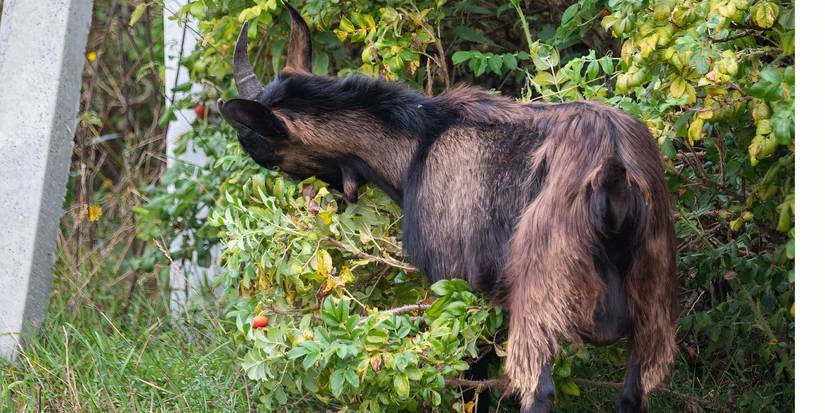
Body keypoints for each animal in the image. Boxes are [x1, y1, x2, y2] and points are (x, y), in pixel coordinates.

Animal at [219, 5, 679, 412]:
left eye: (262, 151)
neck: (418, 141)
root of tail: (612, 180)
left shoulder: (456, 283)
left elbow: (472, 386)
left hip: (541, 294)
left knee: (540, 392)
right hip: (651, 303)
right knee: (632, 394)